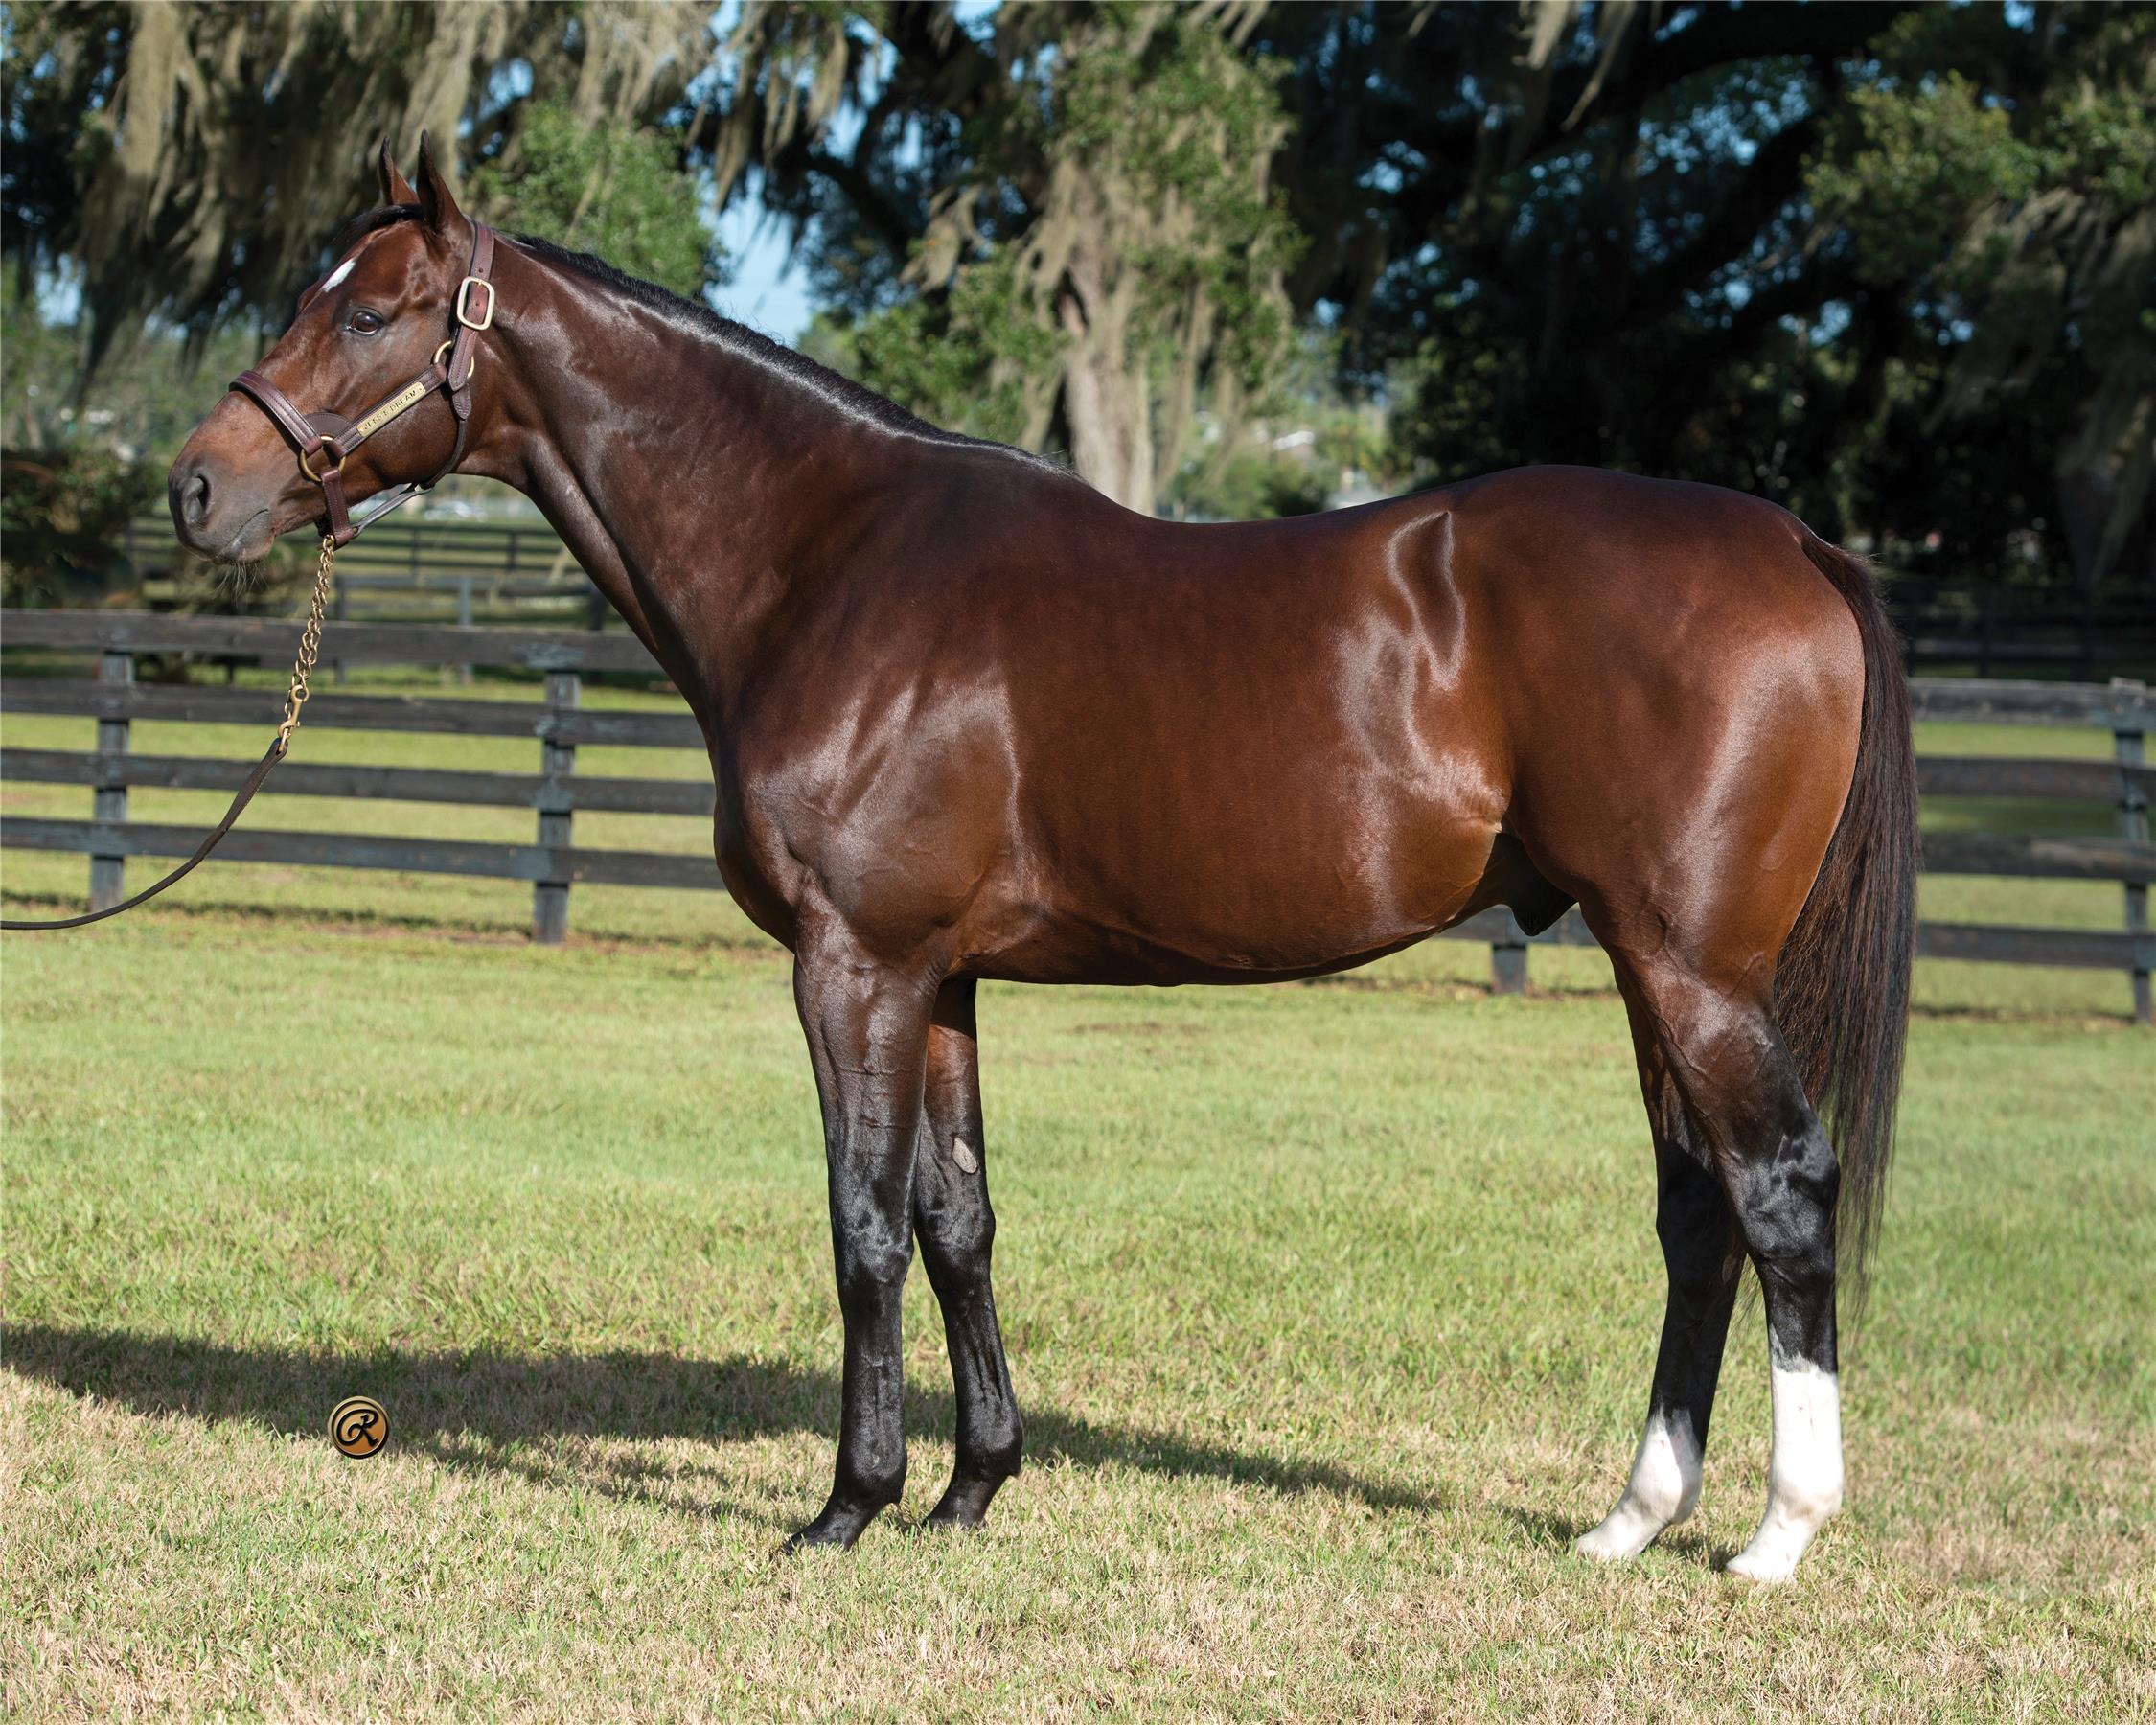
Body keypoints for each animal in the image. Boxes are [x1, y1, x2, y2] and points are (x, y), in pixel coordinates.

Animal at [167, 137, 1918, 1581]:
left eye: (374, 313)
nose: (198, 488)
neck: (828, 565)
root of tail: (1794, 544)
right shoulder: (940, 977)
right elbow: (959, 1223)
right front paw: (969, 1490)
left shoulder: (853, 964)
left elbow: (864, 1225)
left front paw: (847, 1506)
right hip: (1645, 965)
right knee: (1696, 1214)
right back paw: (1629, 1520)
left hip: (1692, 969)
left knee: (1778, 1191)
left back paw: (1776, 1536)